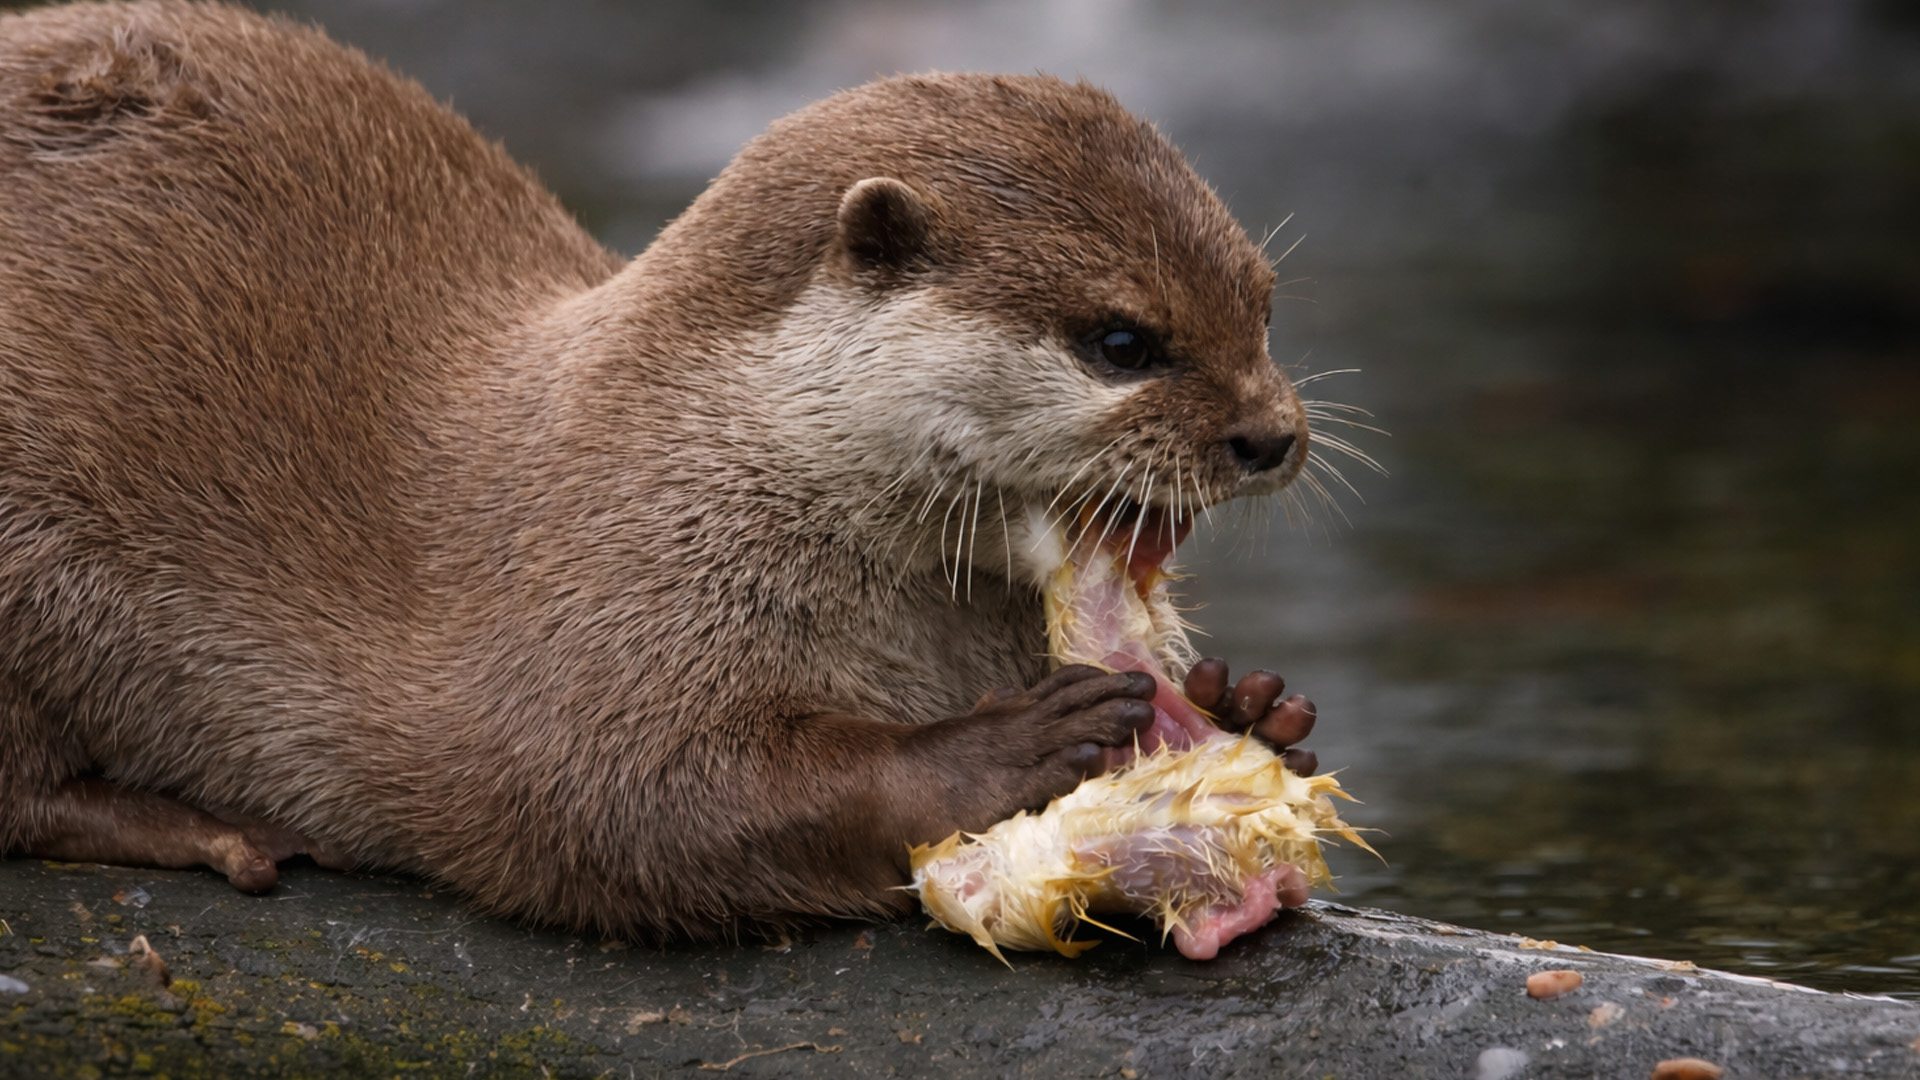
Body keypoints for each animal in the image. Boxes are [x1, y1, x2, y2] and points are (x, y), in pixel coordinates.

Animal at [0, 1, 1322, 945]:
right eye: (1122, 340)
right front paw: (1006, 747)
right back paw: (208, 829)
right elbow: (620, 799)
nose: (1272, 435)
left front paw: (1252, 707)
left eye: (1262, 302)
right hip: (30, 553)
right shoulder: (594, 598)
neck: (691, 455)